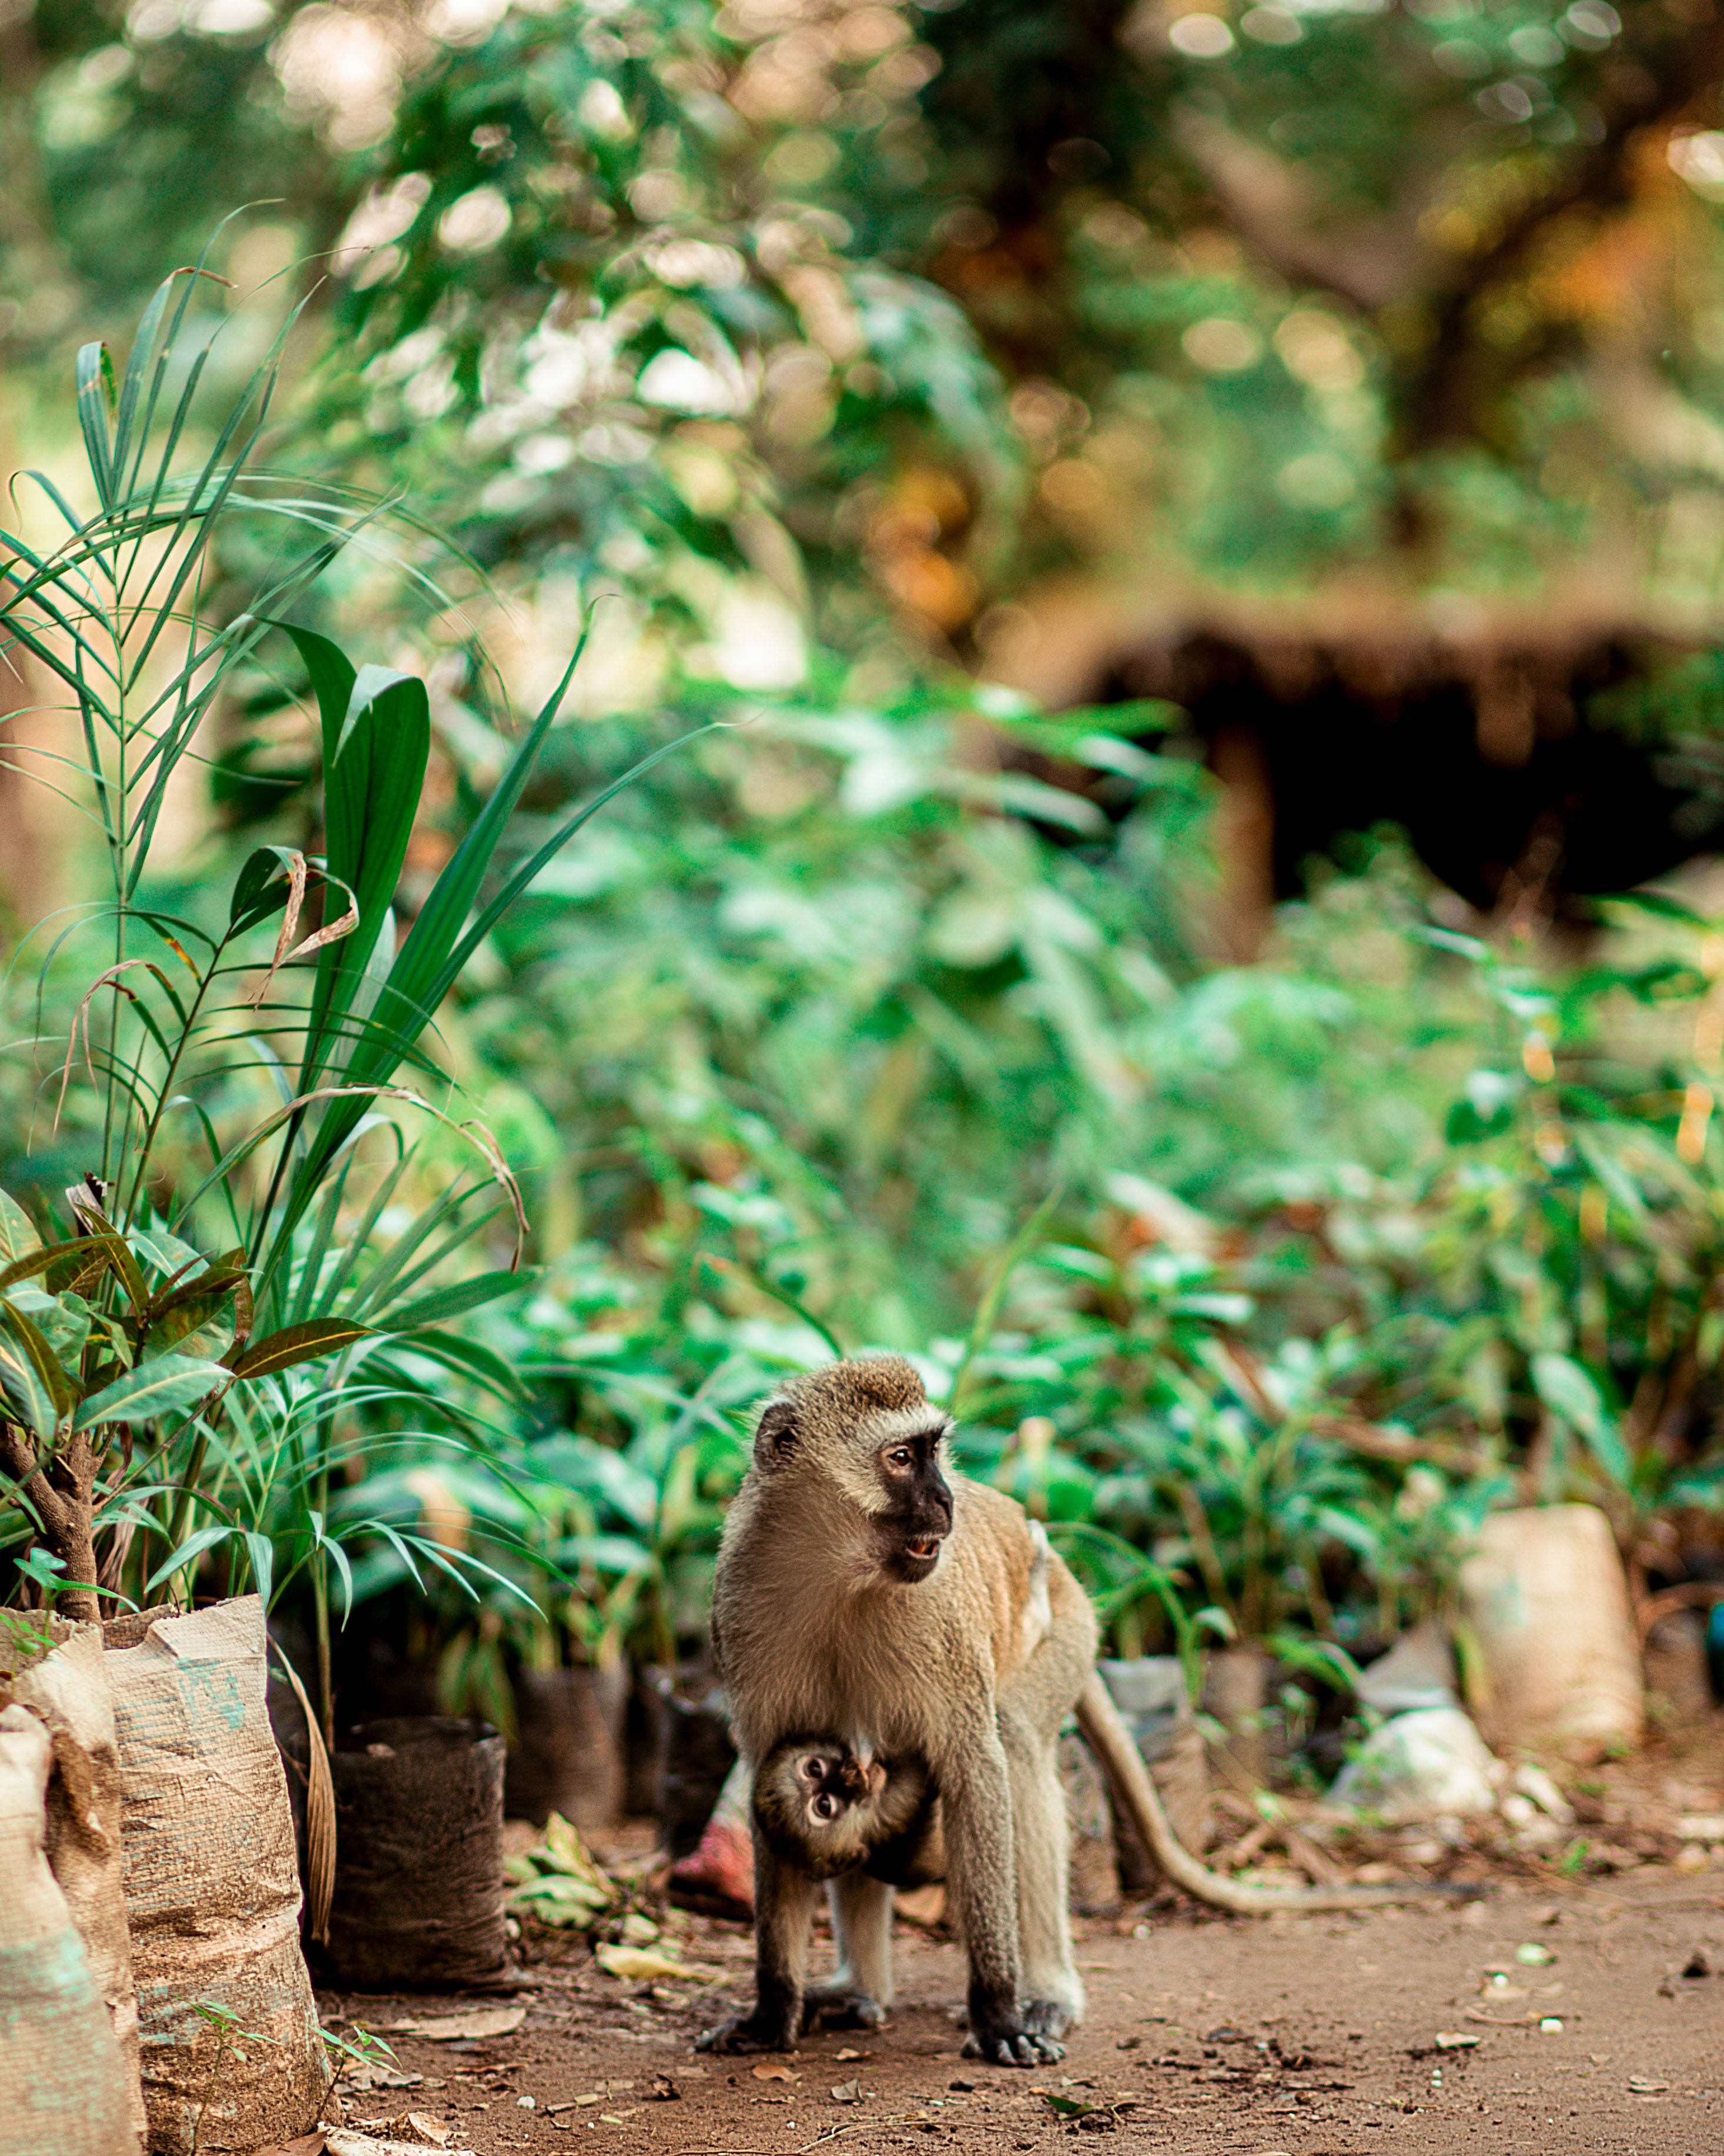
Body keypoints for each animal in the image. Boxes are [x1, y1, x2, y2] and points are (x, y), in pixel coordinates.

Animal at [700, 1355, 1097, 2068]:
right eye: (902, 1457)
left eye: (933, 1450)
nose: (947, 1500)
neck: (837, 1578)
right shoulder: (740, 1606)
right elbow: (771, 1778)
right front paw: (772, 2009)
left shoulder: (940, 1623)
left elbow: (976, 1774)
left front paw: (998, 2011)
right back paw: (861, 1988)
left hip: (1070, 1628)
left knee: (1016, 1742)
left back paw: (1046, 1994)